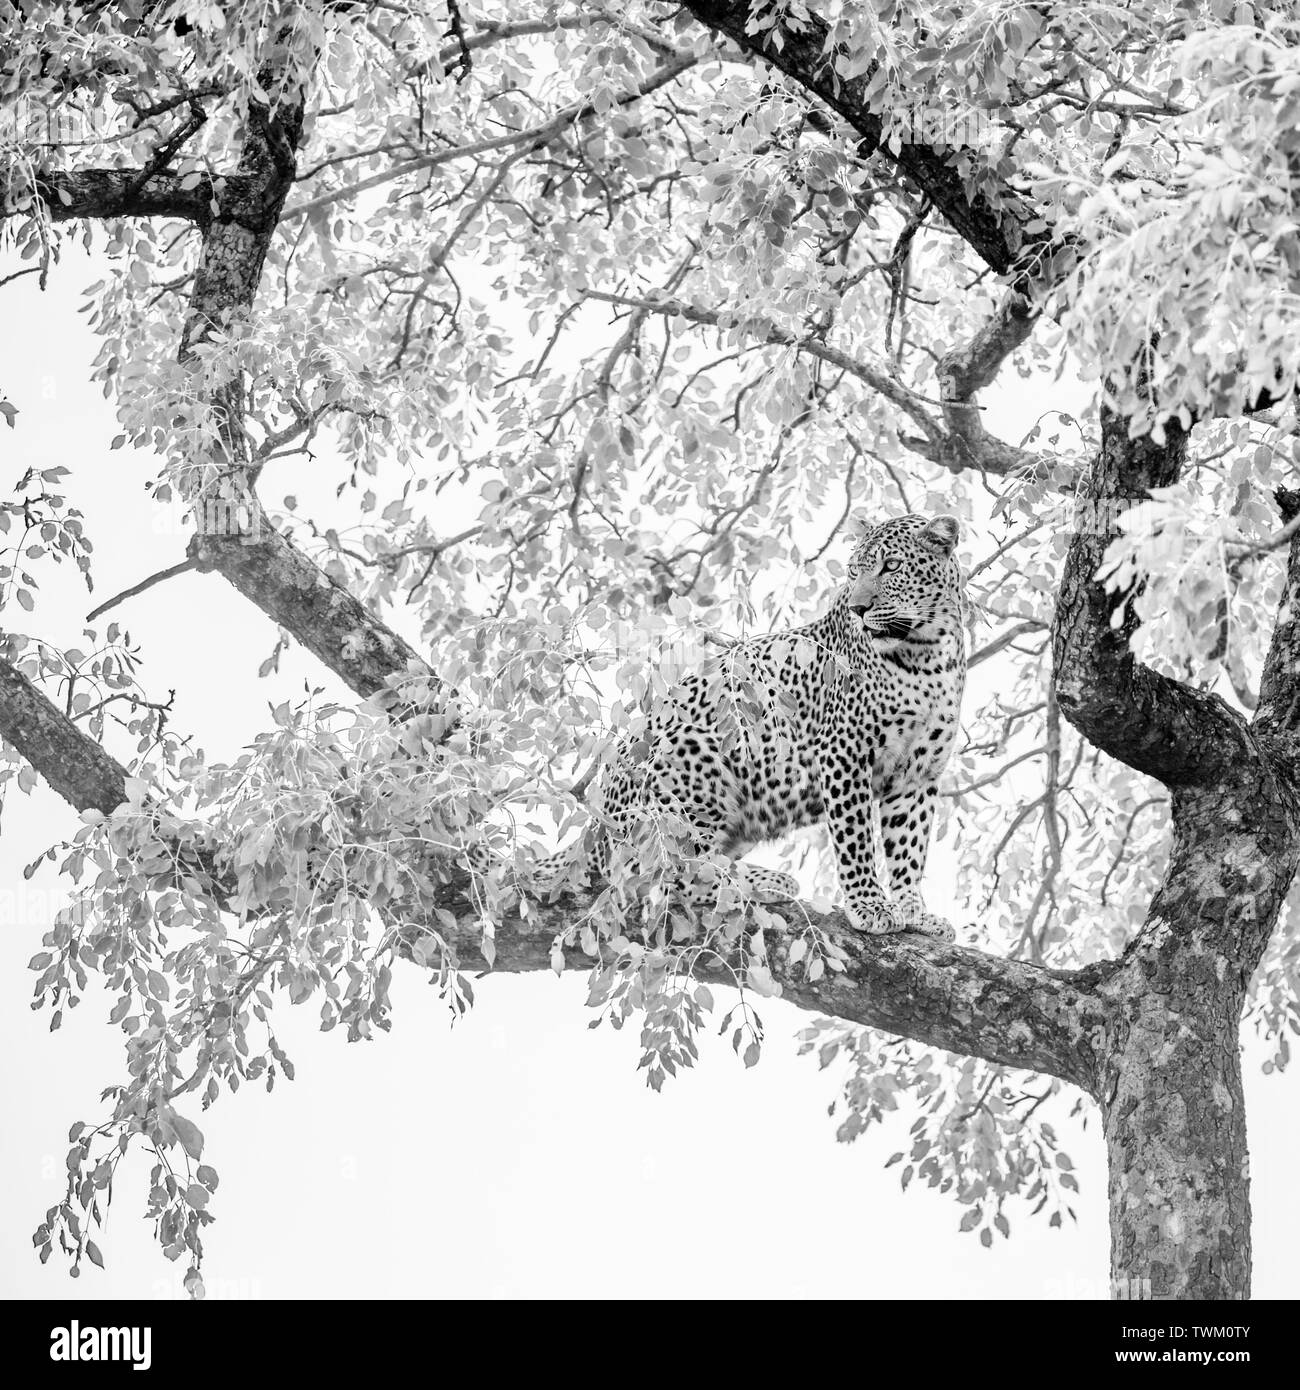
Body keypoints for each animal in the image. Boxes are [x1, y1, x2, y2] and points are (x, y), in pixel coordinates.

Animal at [534, 512, 967, 940]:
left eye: (891, 566)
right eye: (853, 572)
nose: (859, 608)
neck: (925, 652)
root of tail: (596, 821)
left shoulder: (918, 772)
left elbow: (908, 846)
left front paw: (915, 911)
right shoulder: (844, 750)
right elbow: (855, 838)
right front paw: (869, 905)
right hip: (687, 753)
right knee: (668, 870)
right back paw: (761, 881)